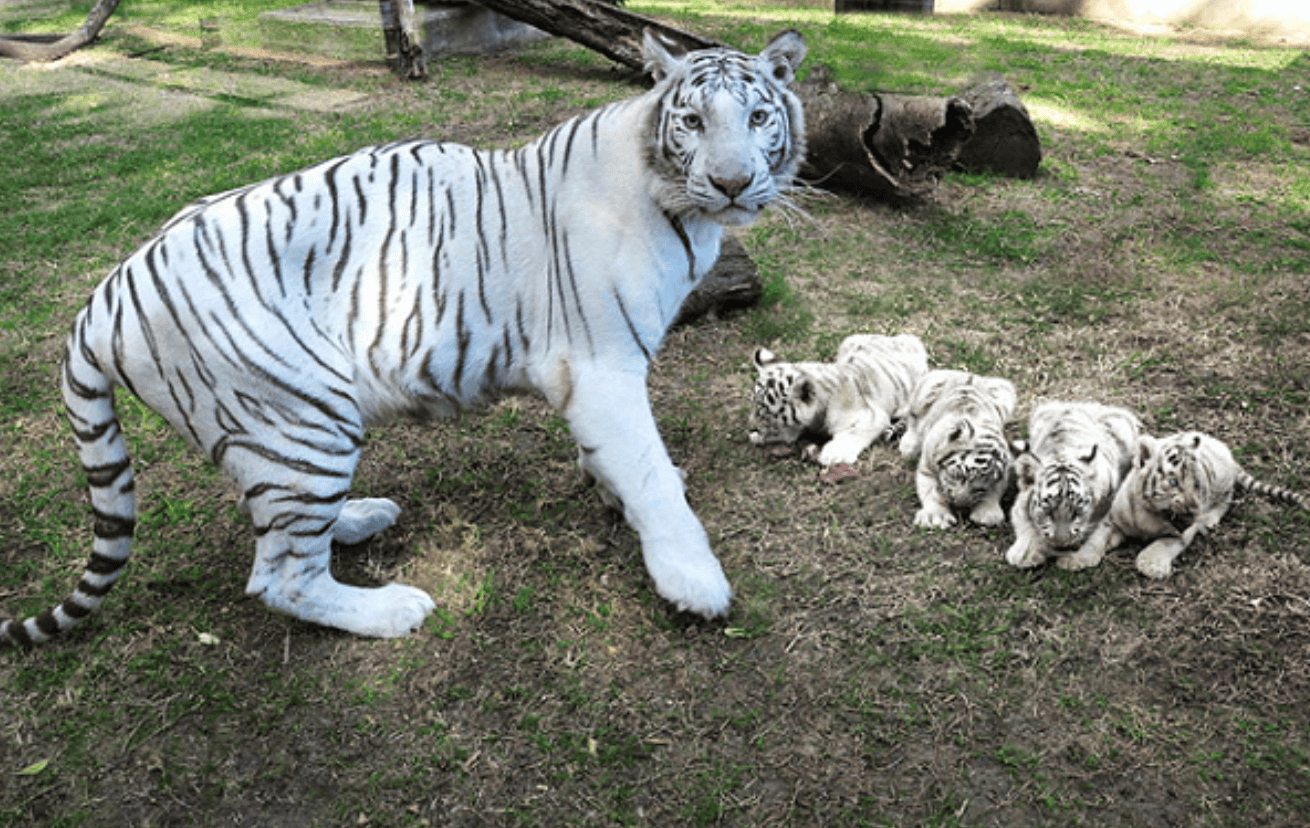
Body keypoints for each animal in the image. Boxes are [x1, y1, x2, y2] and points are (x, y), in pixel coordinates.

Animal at [0, 30, 809, 648]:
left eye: (759, 117)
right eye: (693, 122)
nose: (733, 183)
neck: (677, 200)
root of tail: (107, 292)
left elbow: (619, 462)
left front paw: (612, 494)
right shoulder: (603, 366)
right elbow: (650, 473)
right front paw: (693, 581)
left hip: (269, 435)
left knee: (269, 522)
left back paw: (357, 518)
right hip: (304, 416)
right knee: (279, 576)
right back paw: (392, 608)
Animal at [748, 333, 928, 468]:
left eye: (766, 412)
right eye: (753, 404)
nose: (750, 429)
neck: (815, 418)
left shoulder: (872, 415)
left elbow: (854, 432)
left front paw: (833, 454)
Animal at [897, 369, 1017, 529]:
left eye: (980, 488)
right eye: (959, 475)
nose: (959, 505)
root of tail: (967, 373)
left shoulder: (1003, 474)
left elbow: (994, 492)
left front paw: (987, 514)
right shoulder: (926, 467)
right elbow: (931, 492)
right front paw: (935, 516)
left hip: (1005, 389)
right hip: (924, 391)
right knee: (912, 417)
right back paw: (909, 444)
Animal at [1005, 400, 1142, 571]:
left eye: (1076, 513)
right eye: (1048, 512)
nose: (1061, 546)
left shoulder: (1111, 504)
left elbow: (1101, 530)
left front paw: (1079, 559)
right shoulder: (1021, 502)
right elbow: (1025, 525)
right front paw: (1025, 554)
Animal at [1104, 431, 1310, 579]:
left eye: (1197, 484)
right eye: (1173, 482)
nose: (1193, 508)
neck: (1149, 514)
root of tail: (1227, 452)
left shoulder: (1183, 532)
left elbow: (1165, 542)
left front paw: (1152, 565)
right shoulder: (1115, 517)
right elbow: (1099, 536)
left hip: (1223, 484)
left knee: (1226, 499)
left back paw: (1209, 519)